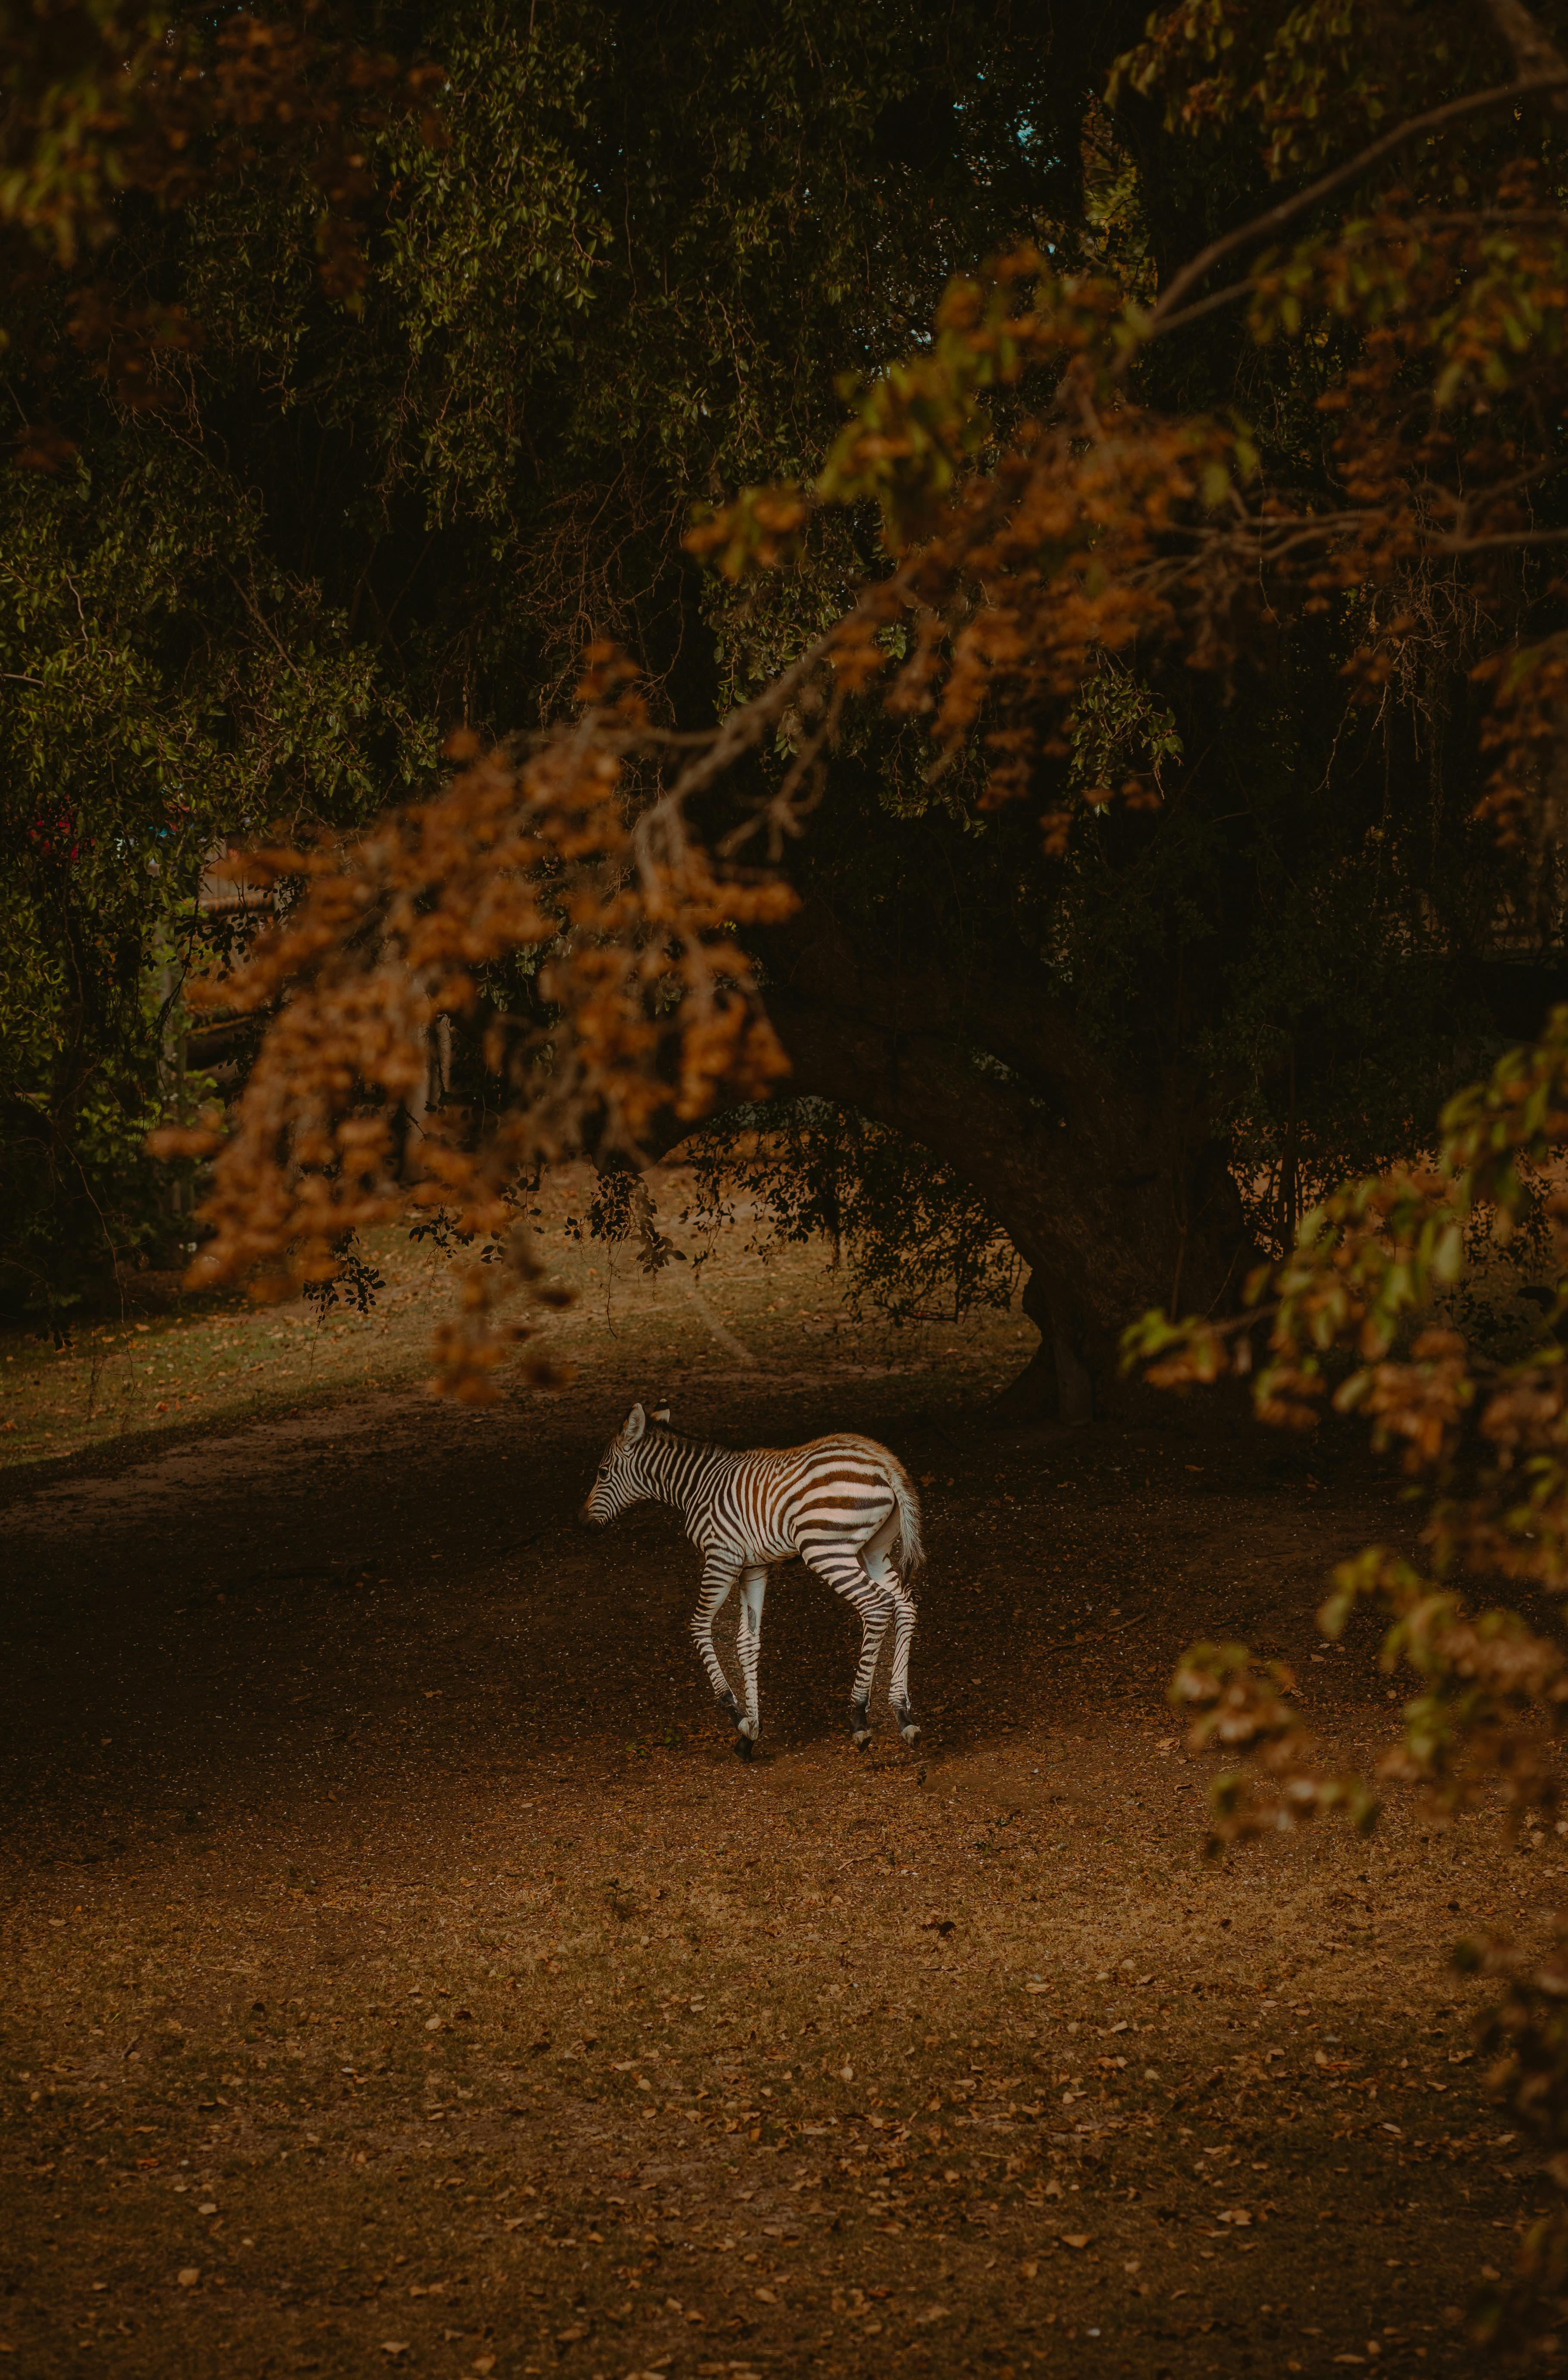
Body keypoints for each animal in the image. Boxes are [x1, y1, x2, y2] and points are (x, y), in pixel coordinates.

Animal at [578, 1402, 923, 1760]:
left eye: (602, 1473)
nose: (583, 1523)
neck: (697, 1487)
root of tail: (884, 1461)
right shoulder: (754, 1568)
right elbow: (748, 1642)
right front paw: (751, 1735)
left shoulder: (721, 1558)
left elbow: (699, 1626)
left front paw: (737, 1715)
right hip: (875, 1550)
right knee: (905, 1605)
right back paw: (903, 1715)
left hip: (826, 1550)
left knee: (877, 1606)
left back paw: (858, 1717)